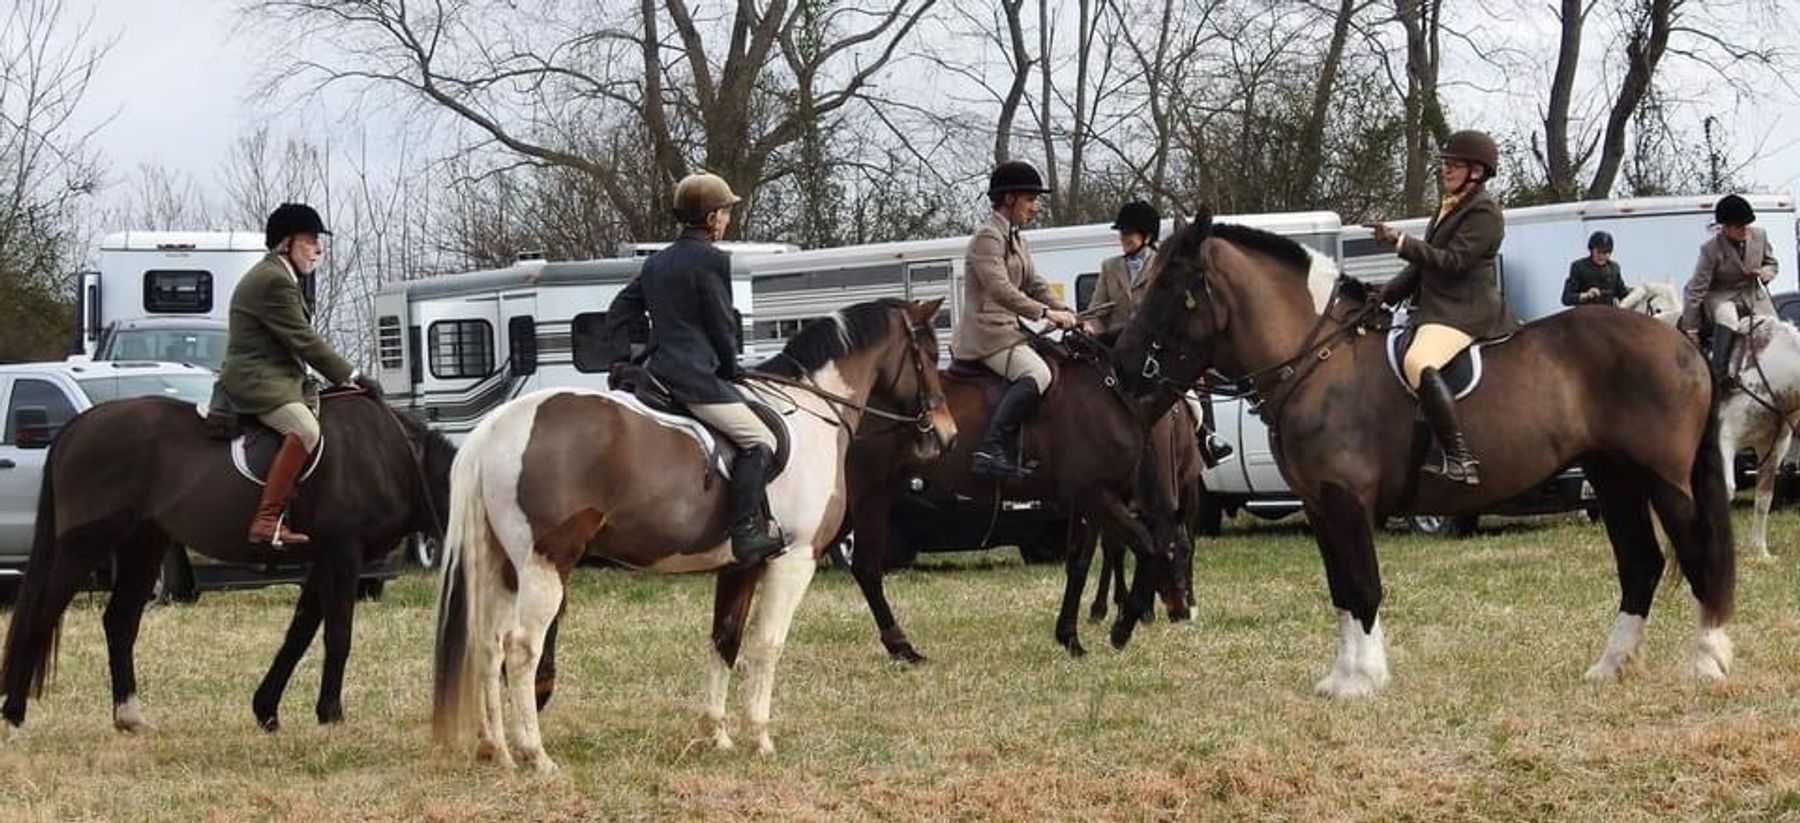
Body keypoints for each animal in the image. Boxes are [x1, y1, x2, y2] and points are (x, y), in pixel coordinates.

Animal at [1, 389, 453, 738]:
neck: (391, 455)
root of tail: (78, 425)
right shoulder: (343, 552)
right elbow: (337, 635)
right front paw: (331, 715)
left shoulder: (324, 559)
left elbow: (299, 632)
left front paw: (267, 709)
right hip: (85, 543)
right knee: (42, 616)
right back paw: (14, 717)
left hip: (144, 543)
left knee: (120, 621)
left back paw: (129, 716)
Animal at [430, 298, 955, 772]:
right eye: (929, 355)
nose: (945, 436)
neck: (809, 412)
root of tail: (495, 428)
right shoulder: (794, 560)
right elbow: (767, 644)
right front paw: (760, 739)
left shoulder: (741, 564)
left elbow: (726, 640)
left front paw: (715, 735)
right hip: (545, 565)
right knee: (521, 649)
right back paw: (535, 755)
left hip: (504, 567)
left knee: (489, 645)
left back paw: (496, 750)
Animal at [841, 331, 1186, 662]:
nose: (1181, 611)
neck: (1110, 390)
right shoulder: (1096, 495)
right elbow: (1143, 545)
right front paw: (1119, 627)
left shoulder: (1087, 502)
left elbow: (1080, 563)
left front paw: (1072, 638)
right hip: (868, 493)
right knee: (866, 567)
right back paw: (903, 647)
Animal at [1113, 213, 1734, 696]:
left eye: (1169, 285)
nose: (1121, 365)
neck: (1317, 362)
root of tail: (1678, 339)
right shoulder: (1319, 504)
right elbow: (1341, 588)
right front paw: (1343, 677)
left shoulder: (1346, 499)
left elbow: (1364, 585)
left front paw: (1364, 680)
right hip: (1614, 476)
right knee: (1641, 563)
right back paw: (1611, 666)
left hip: (1663, 477)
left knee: (1696, 555)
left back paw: (1708, 662)